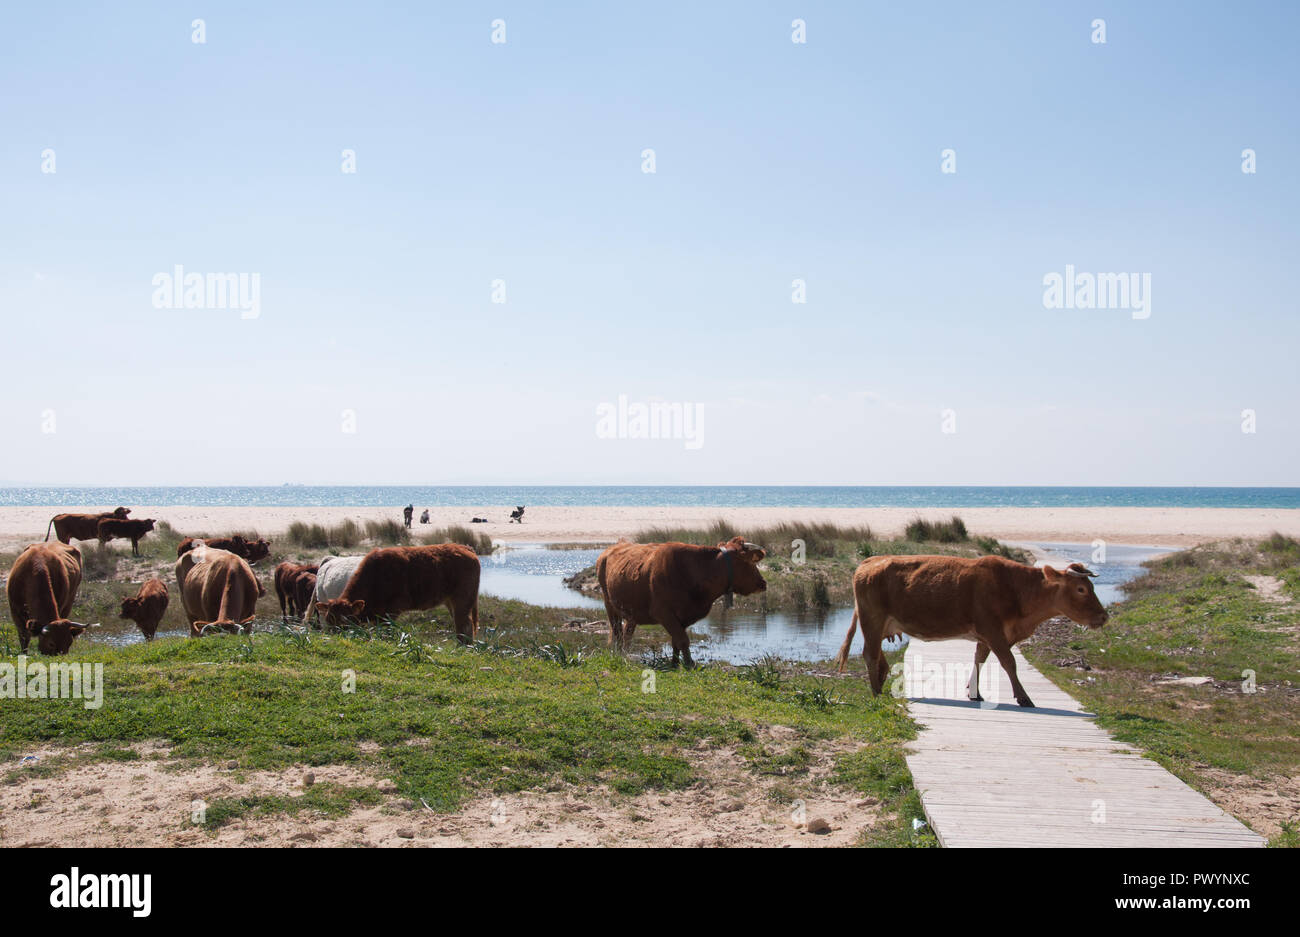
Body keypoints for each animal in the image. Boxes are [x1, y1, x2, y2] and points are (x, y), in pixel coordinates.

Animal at [313, 543, 480, 641]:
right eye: (329, 620)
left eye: (346, 622)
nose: (335, 639)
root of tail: (464, 547)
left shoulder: (392, 610)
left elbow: (387, 629)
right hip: (451, 601)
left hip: (463, 599)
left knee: (465, 625)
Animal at [597, 537, 767, 668]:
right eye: (749, 562)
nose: (763, 583)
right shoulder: (663, 612)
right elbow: (683, 640)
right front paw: (689, 663)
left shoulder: (683, 617)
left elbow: (676, 641)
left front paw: (675, 663)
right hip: (609, 604)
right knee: (617, 632)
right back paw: (618, 654)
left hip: (632, 612)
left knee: (627, 633)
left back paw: (624, 653)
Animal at [834, 555, 1108, 708]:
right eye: (1081, 589)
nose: (1104, 616)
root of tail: (869, 561)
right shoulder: (993, 630)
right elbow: (1008, 662)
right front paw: (1023, 697)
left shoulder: (988, 635)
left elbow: (979, 660)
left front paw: (974, 692)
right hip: (872, 620)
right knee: (870, 655)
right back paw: (876, 693)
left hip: (881, 625)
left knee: (880, 659)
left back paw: (881, 687)